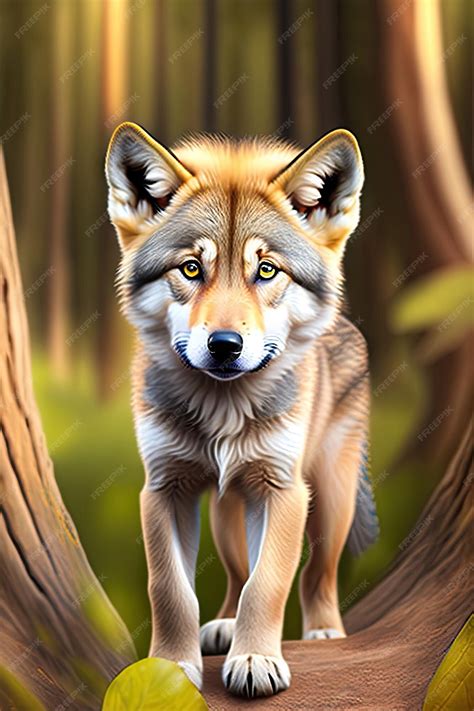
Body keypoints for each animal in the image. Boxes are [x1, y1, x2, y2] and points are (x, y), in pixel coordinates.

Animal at [105, 122, 379, 698]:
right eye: (191, 268)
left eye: (266, 270)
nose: (225, 345)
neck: (223, 411)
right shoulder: (164, 489)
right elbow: (170, 588)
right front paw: (171, 667)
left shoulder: (282, 489)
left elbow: (268, 581)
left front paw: (255, 661)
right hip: (227, 512)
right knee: (234, 576)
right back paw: (225, 626)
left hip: (331, 496)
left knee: (318, 572)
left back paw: (325, 632)